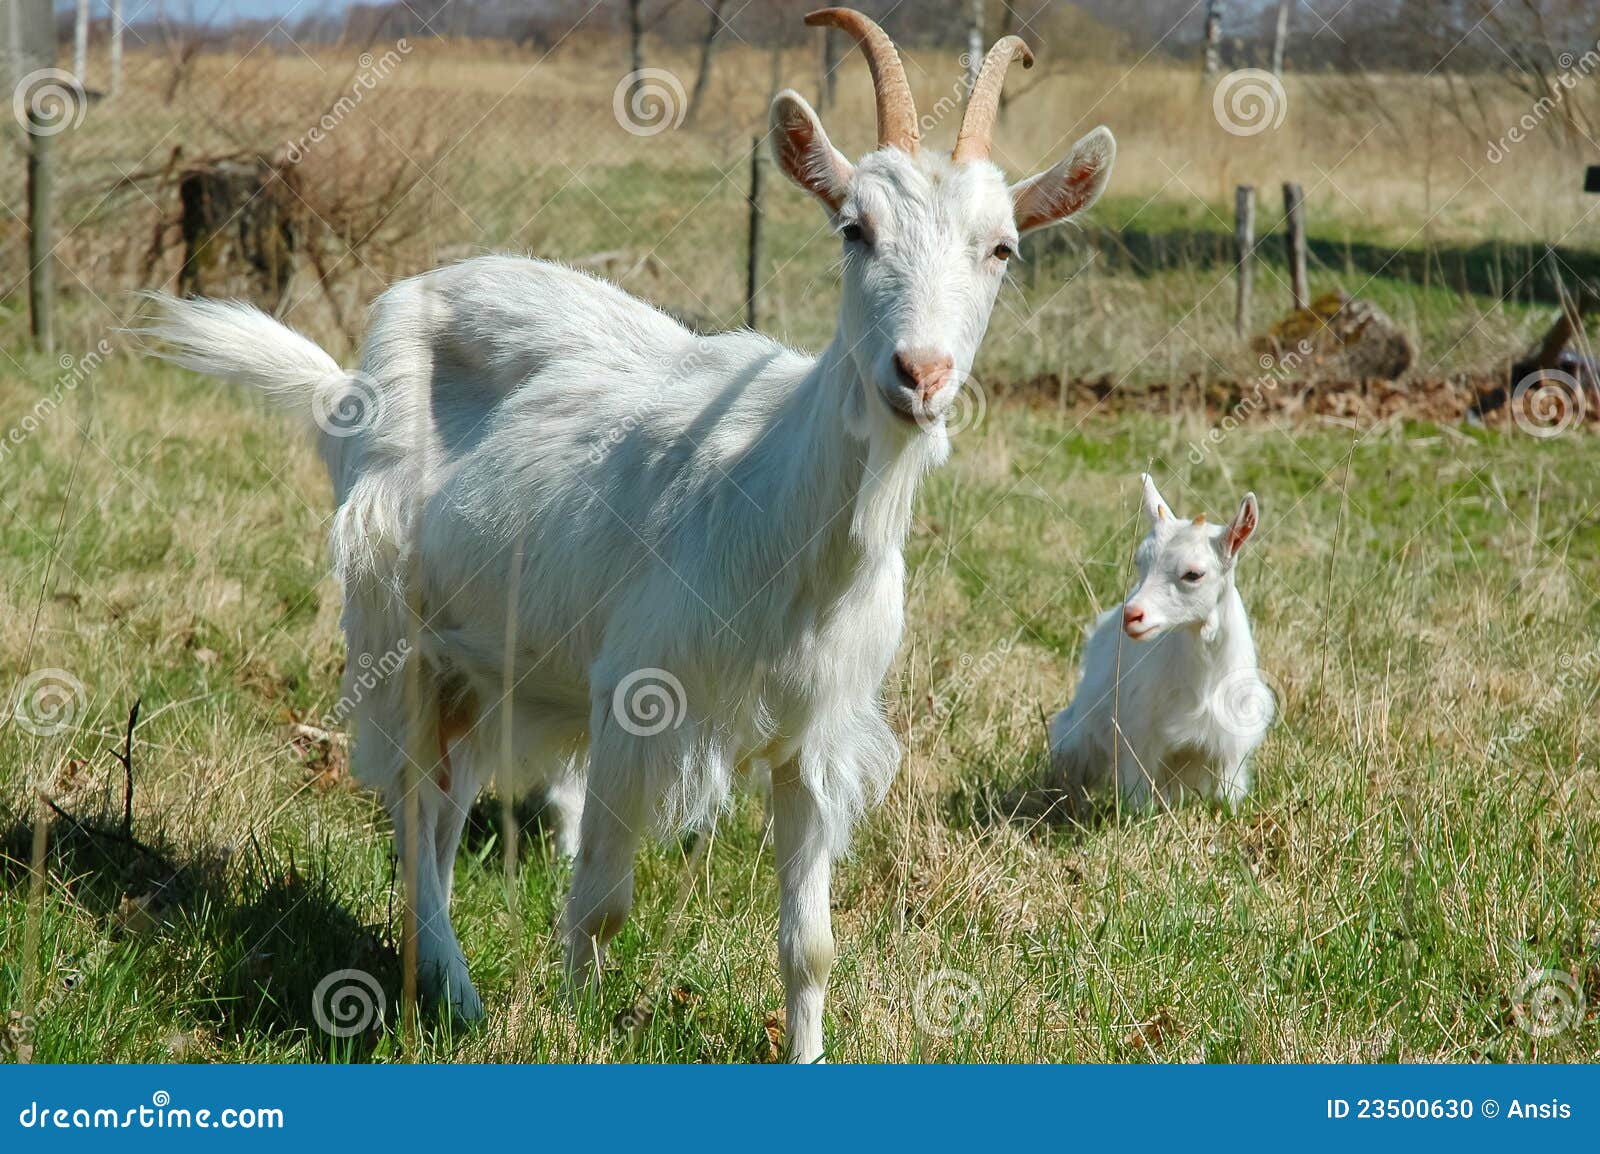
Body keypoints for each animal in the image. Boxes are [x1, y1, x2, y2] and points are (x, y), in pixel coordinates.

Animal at [142, 8, 1115, 1062]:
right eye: (854, 229)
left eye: (1002, 249)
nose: (921, 373)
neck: (782, 513)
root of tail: (342, 388)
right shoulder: (637, 697)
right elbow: (601, 903)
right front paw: (576, 1026)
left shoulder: (817, 733)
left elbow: (810, 944)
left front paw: (807, 1052)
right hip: (395, 628)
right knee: (411, 808)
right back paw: (460, 993)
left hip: (485, 661)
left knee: (443, 808)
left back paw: (443, 983)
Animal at [1048, 475, 1269, 817]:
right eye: (1140, 561)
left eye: (1193, 574)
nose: (1133, 615)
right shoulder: (1137, 737)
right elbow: (1139, 799)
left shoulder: (1231, 742)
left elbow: (1229, 795)